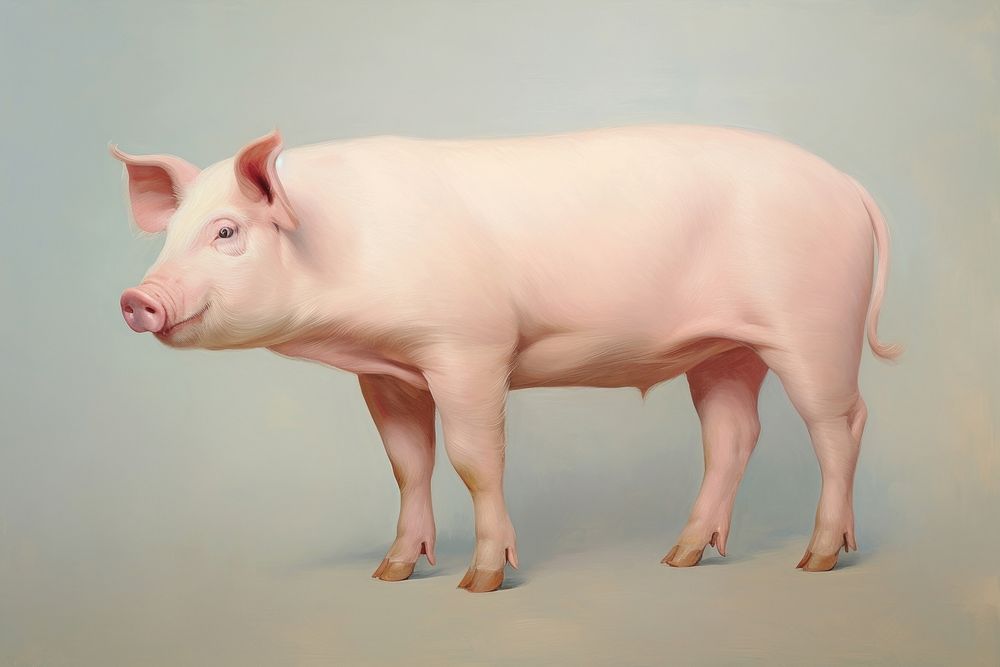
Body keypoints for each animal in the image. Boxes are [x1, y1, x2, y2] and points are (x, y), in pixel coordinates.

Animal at [112, 125, 900, 593]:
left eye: (225, 231)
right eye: (171, 234)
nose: (135, 297)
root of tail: (852, 187)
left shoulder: (470, 347)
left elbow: (472, 459)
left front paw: (481, 580)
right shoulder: (386, 371)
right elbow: (408, 462)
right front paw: (391, 572)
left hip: (813, 326)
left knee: (842, 425)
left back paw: (818, 559)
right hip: (728, 348)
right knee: (735, 435)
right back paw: (681, 558)